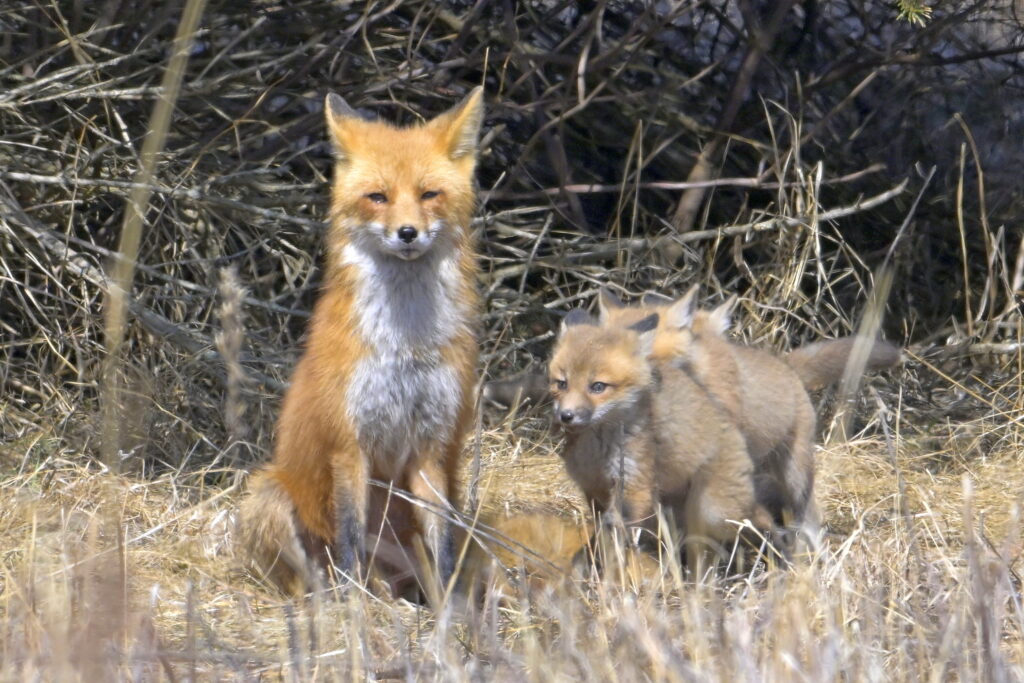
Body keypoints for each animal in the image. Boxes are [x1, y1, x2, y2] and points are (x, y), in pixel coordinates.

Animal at [237, 88, 485, 595]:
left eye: (429, 195)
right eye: (378, 198)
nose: (407, 233)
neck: (405, 348)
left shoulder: (431, 445)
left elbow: (443, 544)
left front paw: (449, 608)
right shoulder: (349, 444)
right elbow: (350, 536)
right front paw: (353, 608)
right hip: (269, 493)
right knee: (310, 576)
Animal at [548, 310, 774, 571]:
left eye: (597, 386)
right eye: (562, 383)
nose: (566, 415)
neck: (595, 452)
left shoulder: (635, 485)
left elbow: (613, 536)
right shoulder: (594, 489)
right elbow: (601, 535)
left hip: (714, 512)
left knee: (752, 522)